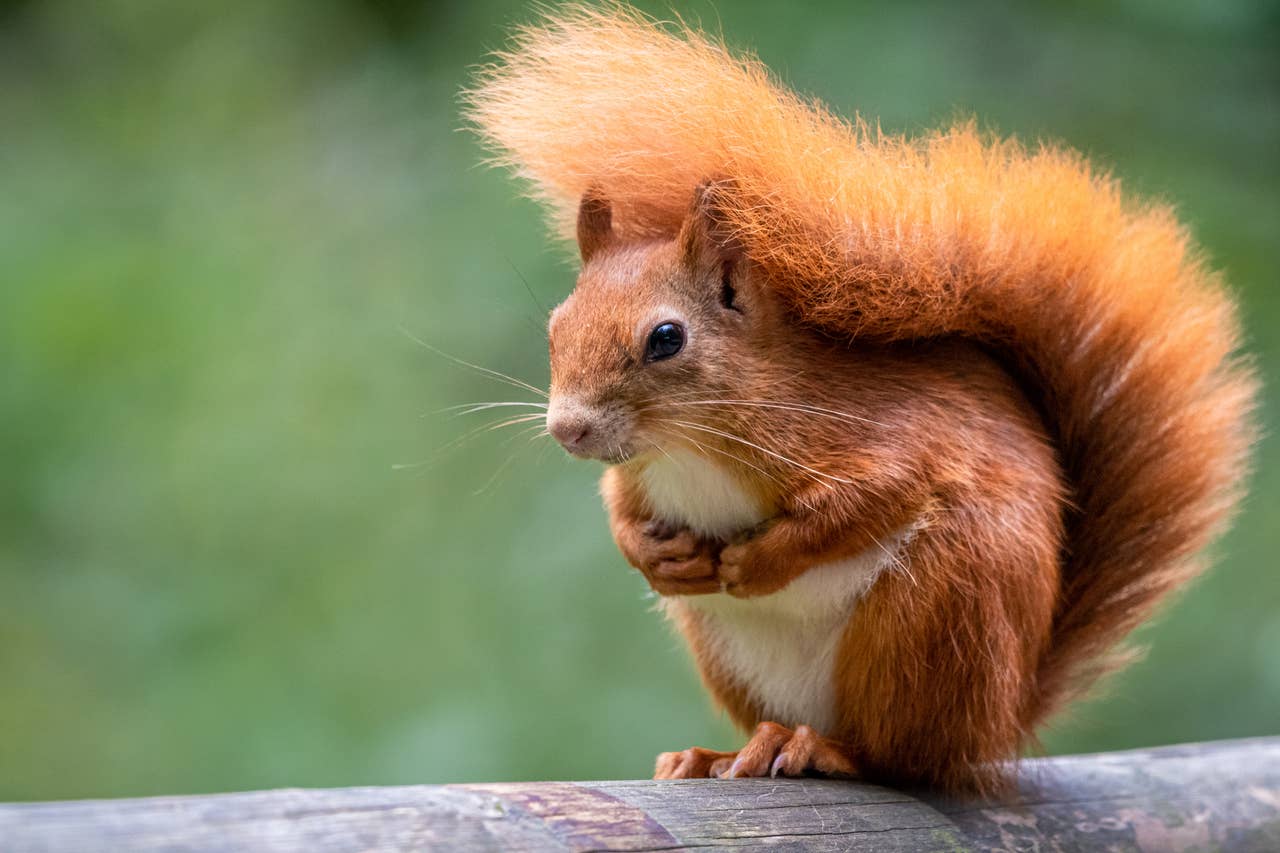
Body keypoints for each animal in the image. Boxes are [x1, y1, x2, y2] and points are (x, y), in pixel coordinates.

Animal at [465, 5, 1257, 794]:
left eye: (666, 338)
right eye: (556, 325)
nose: (568, 430)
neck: (689, 447)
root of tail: (1007, 717)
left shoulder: (880, 434)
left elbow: (868, 498)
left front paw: (757, 563)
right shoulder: (637, 475)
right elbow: (621, 511)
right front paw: (655, 556)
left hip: (937, 607)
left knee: (908, 755)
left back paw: (830, 749)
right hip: (733, 649)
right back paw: (721, 754)